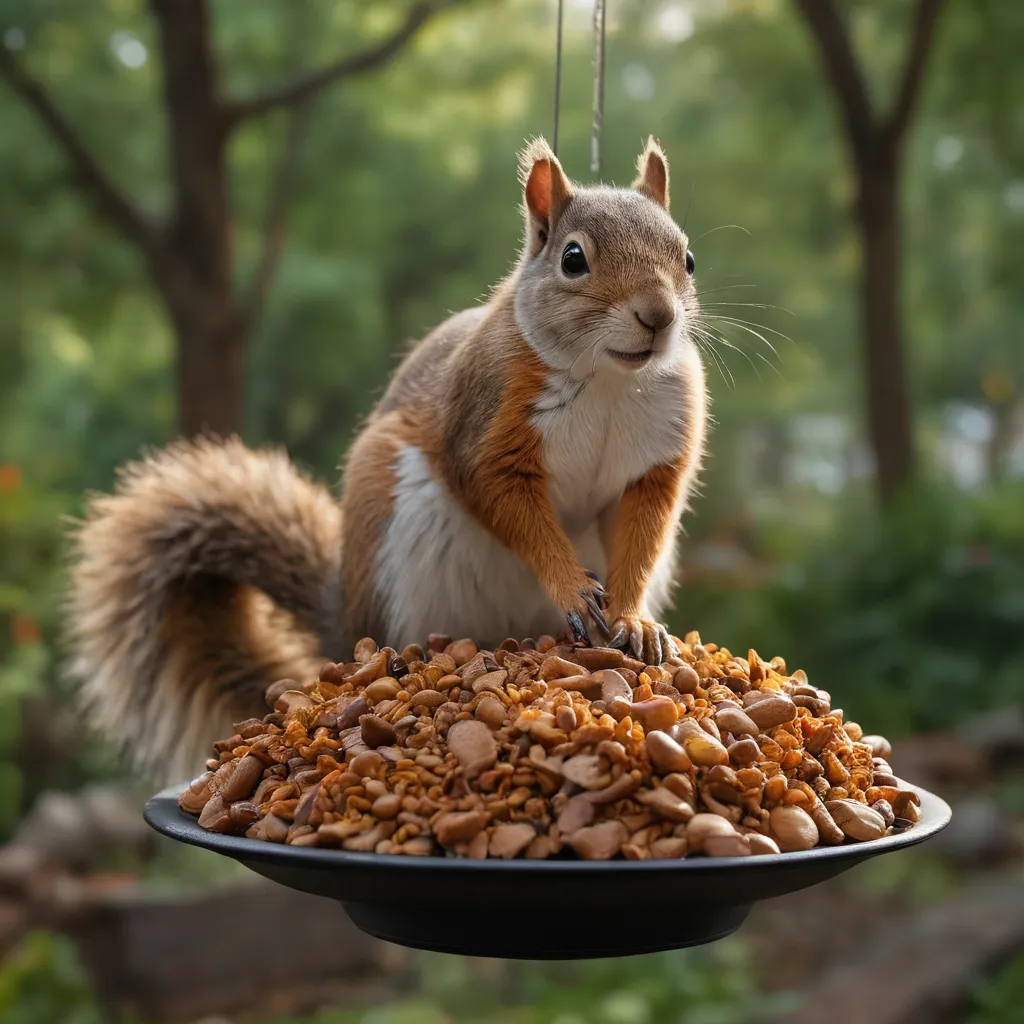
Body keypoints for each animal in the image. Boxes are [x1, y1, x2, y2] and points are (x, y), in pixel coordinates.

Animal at [66, 137, 708, 781]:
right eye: (573, 260)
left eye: (688, 257)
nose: (659, 316)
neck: (607, 379)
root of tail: (344, 621)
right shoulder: (485, 423)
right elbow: (502, 497)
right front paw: (572, 587)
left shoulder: (656, 462)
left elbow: (642, 534)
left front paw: (634, 621)